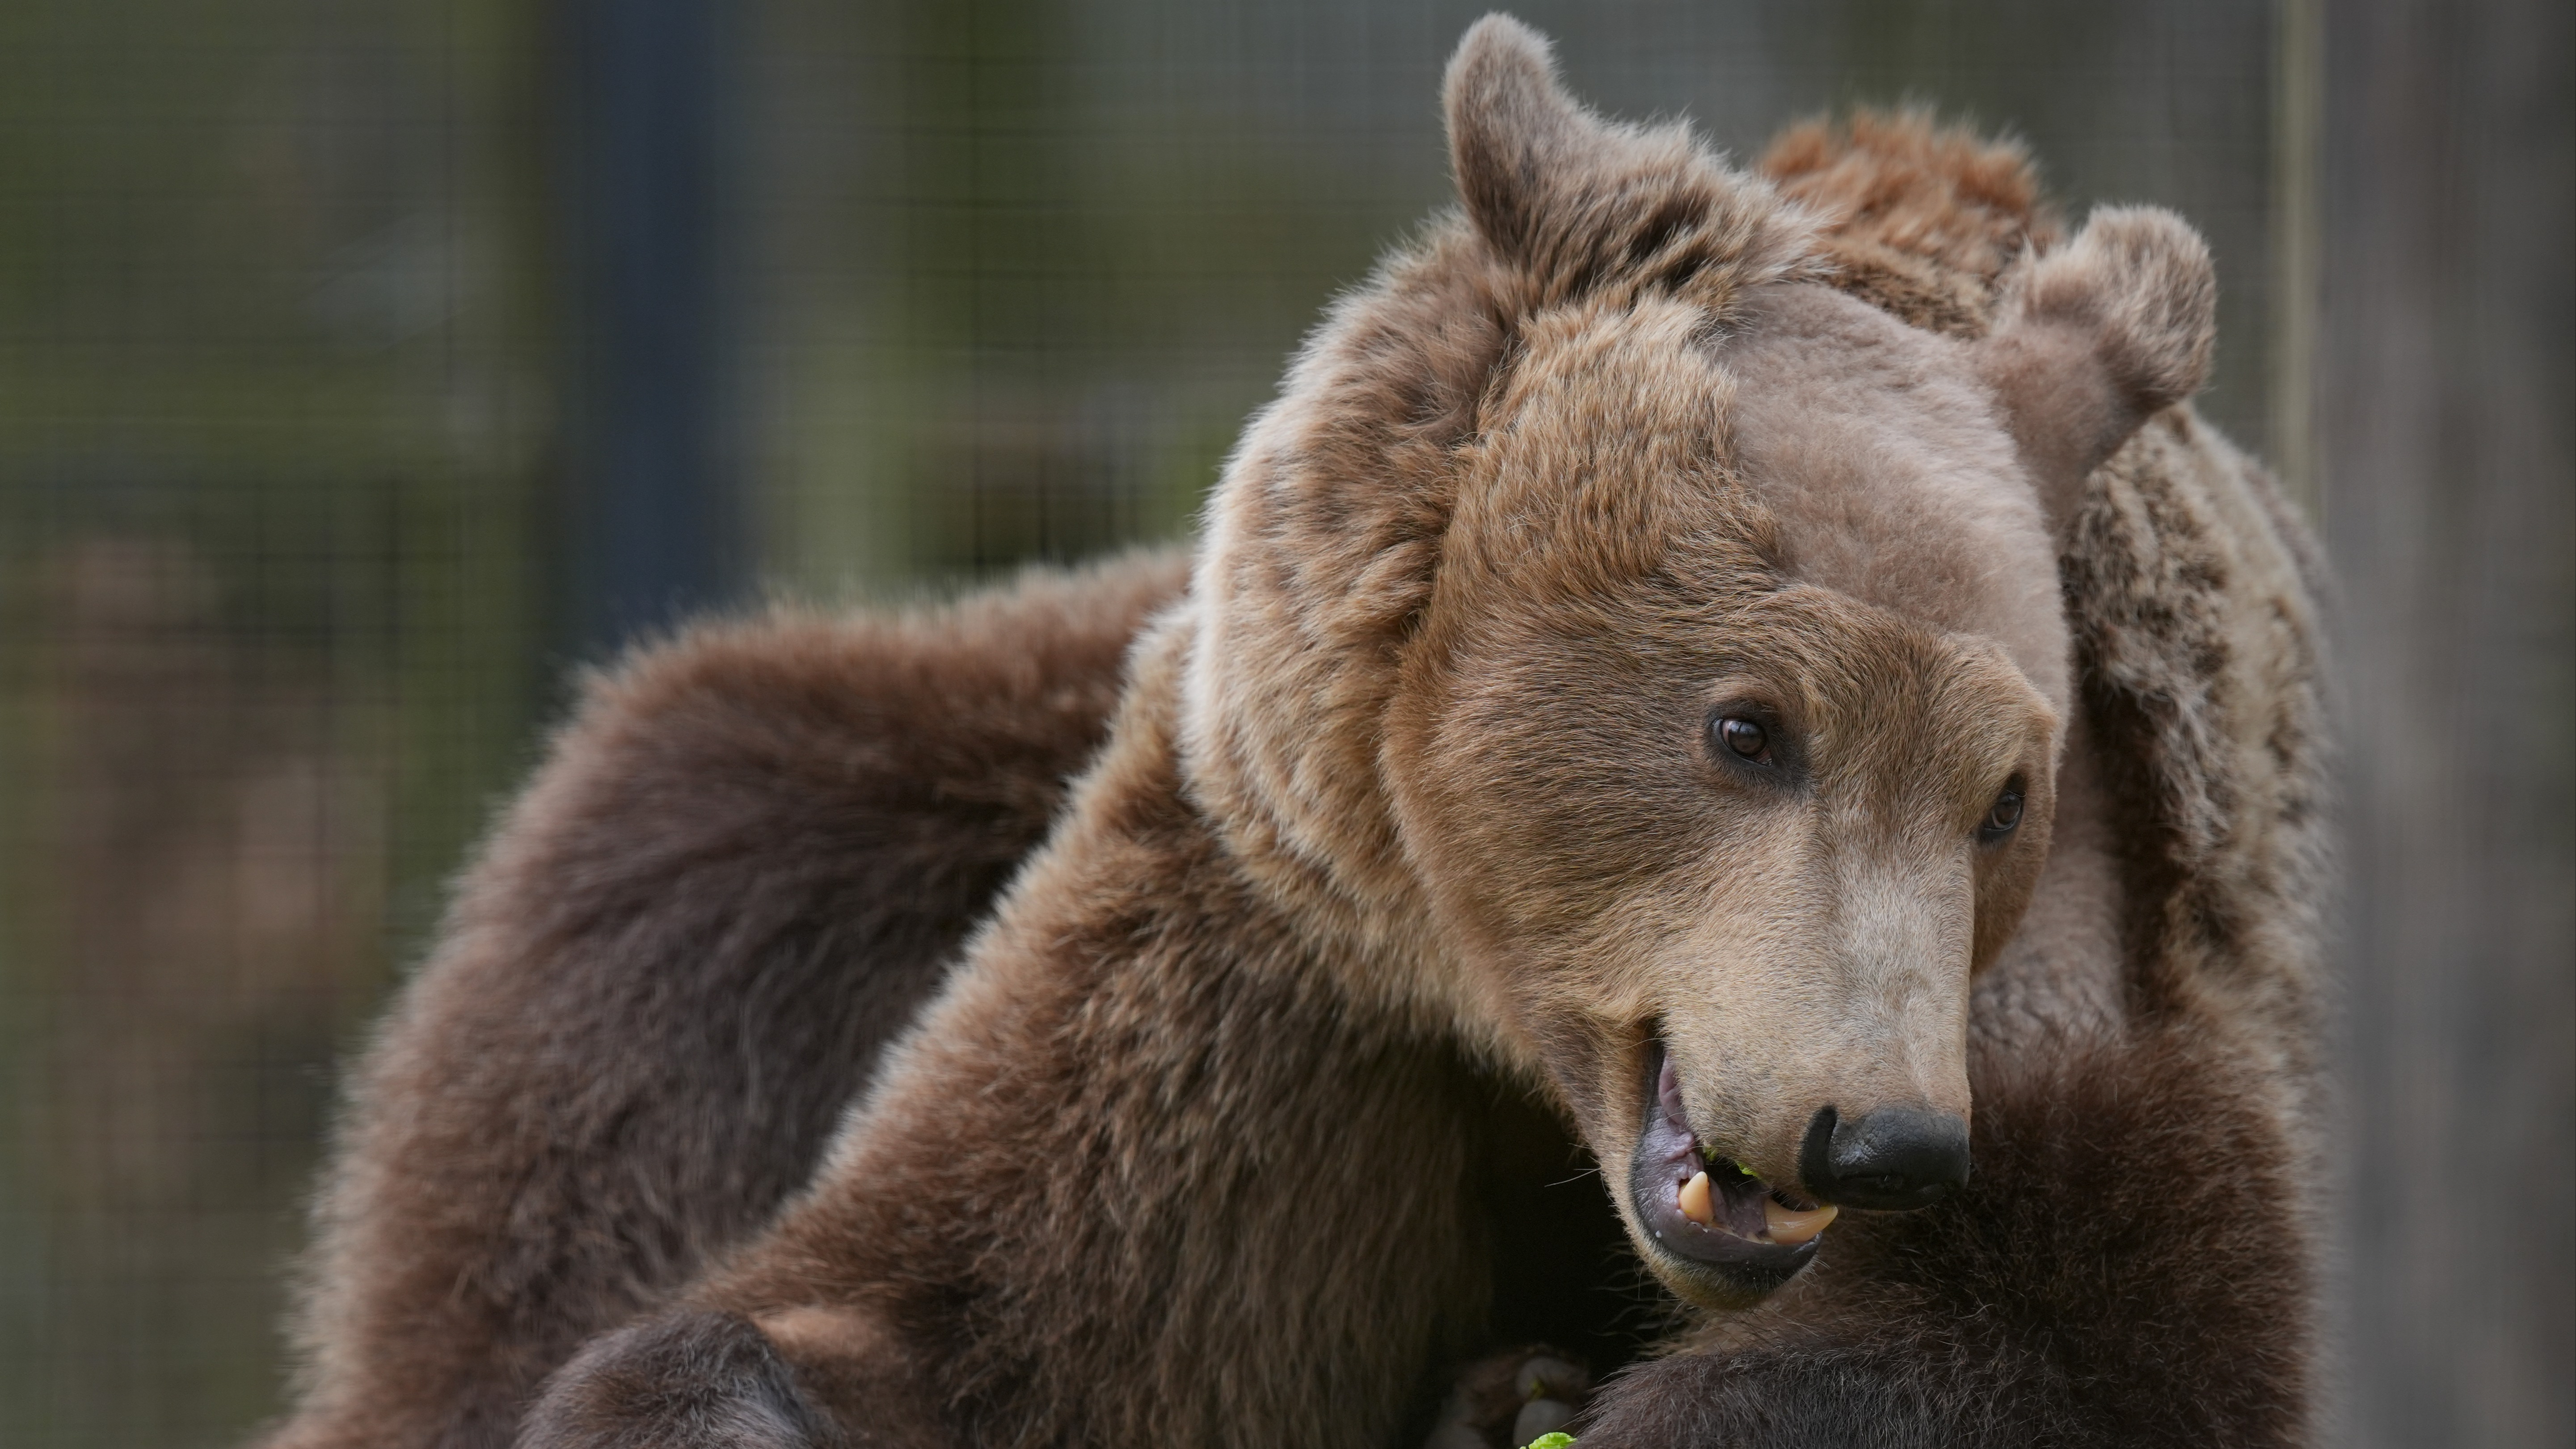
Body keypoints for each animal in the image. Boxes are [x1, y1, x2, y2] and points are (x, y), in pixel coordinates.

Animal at [257, 16, 2328, 1448]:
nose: (1869, 1133)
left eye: (2001, 798)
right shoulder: (1259, 973)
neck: (1509, 1038)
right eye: (1747, 727)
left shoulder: (2074, 1019)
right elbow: (975, 1311)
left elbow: (2033, 1337)